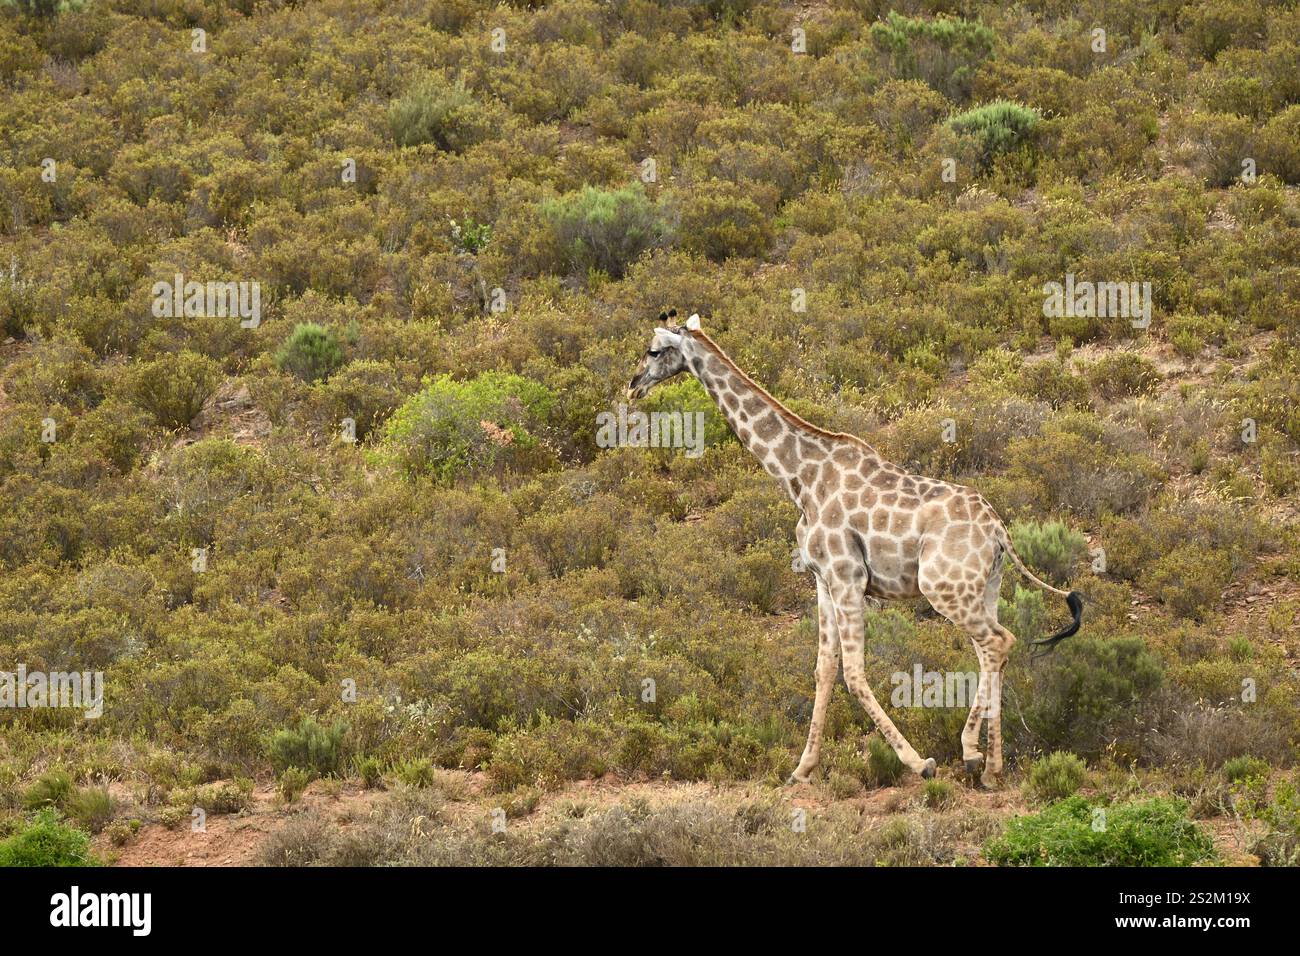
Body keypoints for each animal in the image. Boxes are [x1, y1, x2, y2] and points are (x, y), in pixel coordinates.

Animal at [627, 311, 1084, 788]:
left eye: (653, 351)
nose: (632, 385)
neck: (799, 477)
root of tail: (998, 530)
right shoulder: (822, 579)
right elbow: (824, 668)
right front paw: (801, 769)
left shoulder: (847, 575)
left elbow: (854, 672)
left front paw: (919, 762)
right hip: (983, 586)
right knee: (990, 649)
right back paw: (991, 766)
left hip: (942, 586)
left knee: (998, 641)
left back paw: (971, 753)